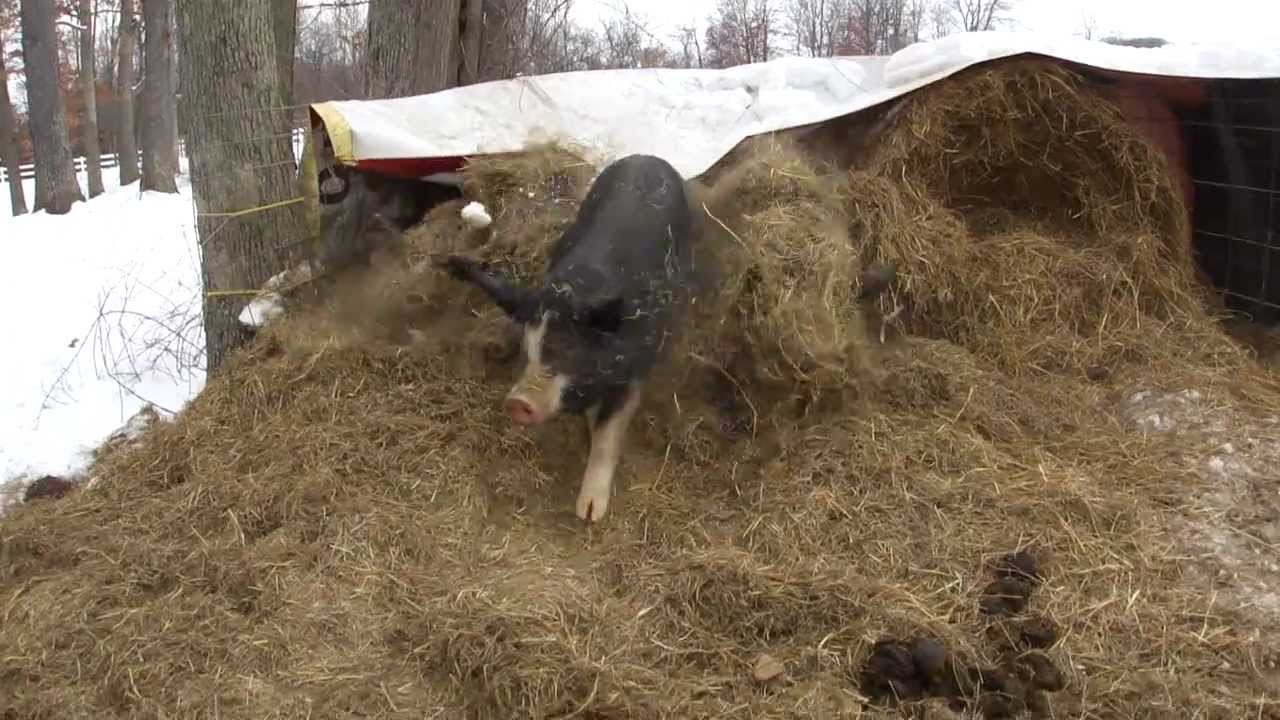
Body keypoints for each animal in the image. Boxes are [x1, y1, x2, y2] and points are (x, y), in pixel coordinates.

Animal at [436, 153, 697, 523]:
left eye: (568, 347)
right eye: (528, 350)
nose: (517, 401)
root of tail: (645, 157)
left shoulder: (634, 369)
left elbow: (607, 435)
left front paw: (588, 514)